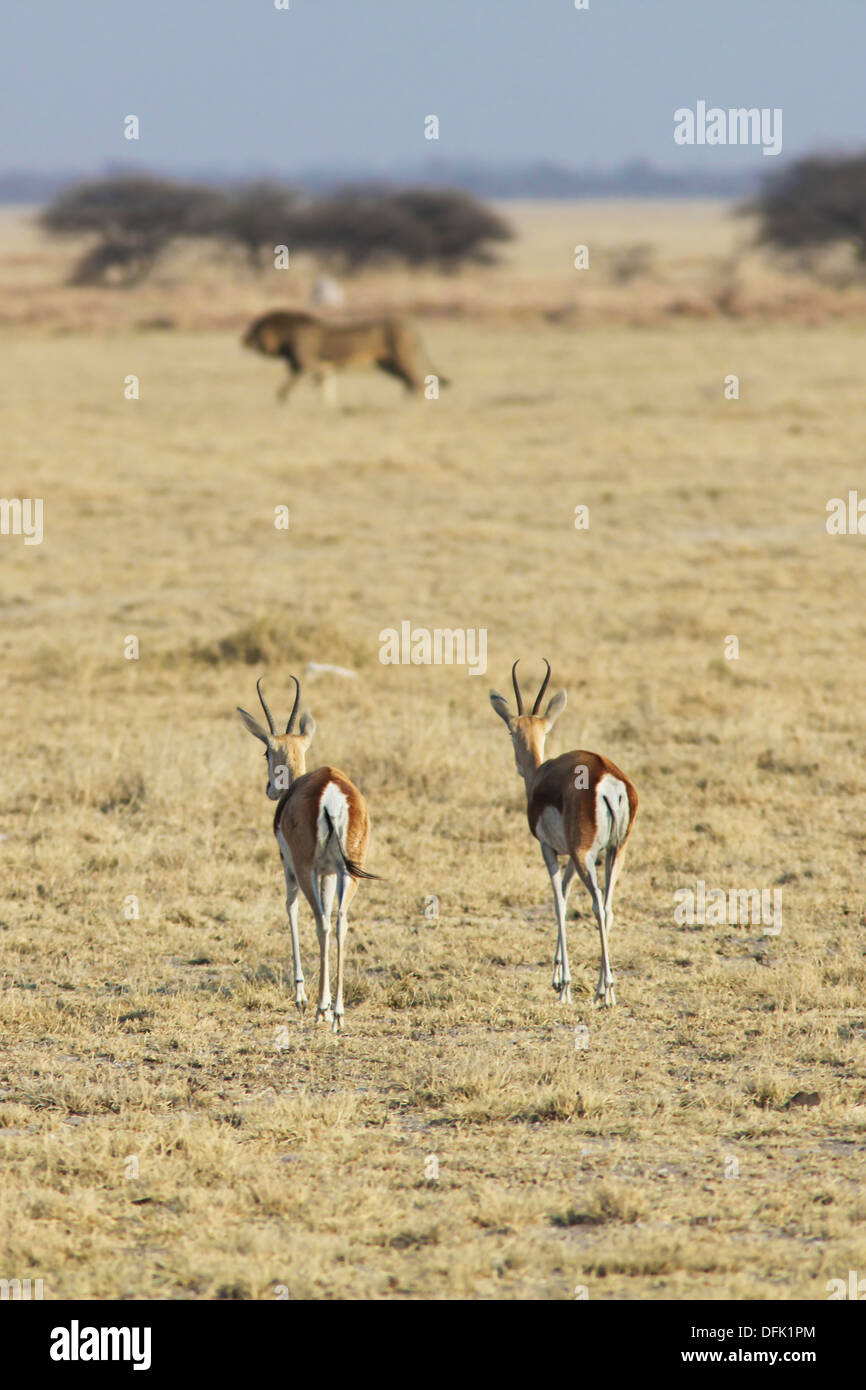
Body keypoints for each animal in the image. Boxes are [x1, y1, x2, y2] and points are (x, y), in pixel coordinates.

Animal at [241, 309, 450, 403]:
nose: (242, 339)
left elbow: (300, 382)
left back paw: (412, 403)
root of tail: (412, 326)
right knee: (409, 381)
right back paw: (404, 400)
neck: (287, 336)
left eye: (254, 329)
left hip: (402, 358)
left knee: (416, 380)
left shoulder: (308, 364)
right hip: (387, 365)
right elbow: (314, 383)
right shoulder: (306, 367)